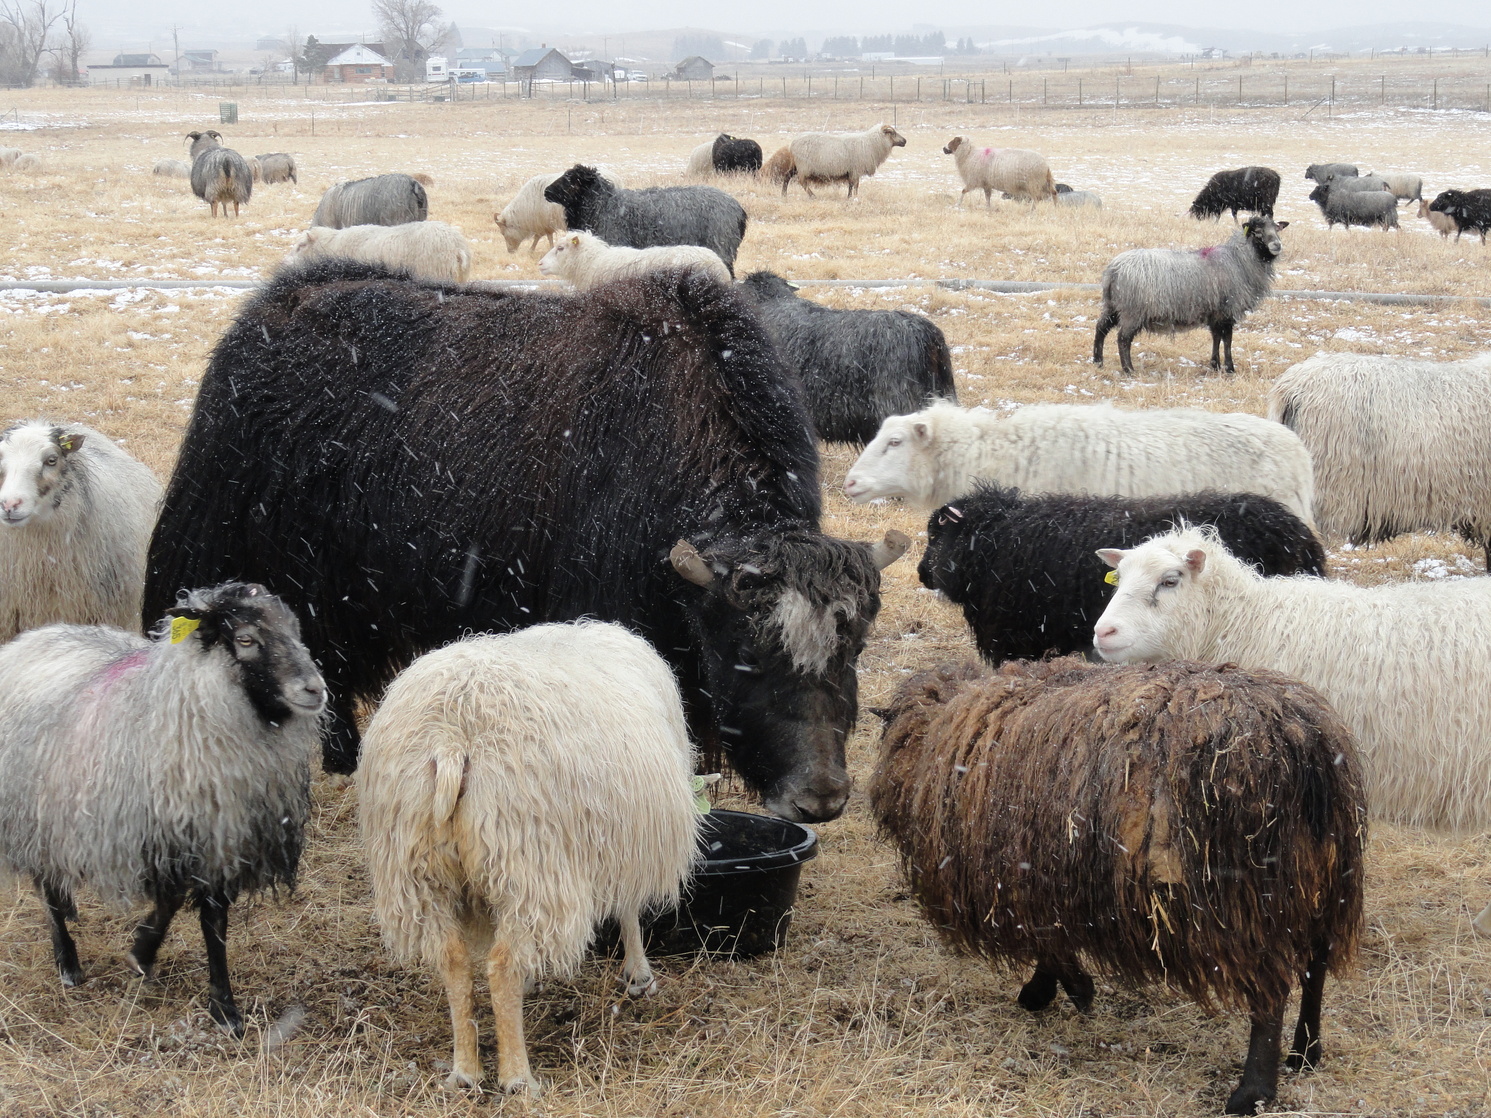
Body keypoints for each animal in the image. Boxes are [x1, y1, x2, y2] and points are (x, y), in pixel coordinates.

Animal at [0, 582, 326, 1034]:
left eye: (295, 630)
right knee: (45, 885)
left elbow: (214, 921)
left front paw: (223, 1007)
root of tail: (27, 639)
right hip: (34, 811)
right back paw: (67, 961)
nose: (315, 689)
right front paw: (141, 953)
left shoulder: (222, 836)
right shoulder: (161, 831)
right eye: (245, 639)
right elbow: (171, 901)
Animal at [359, 621, 700, 1094]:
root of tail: (452, 736)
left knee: (453, 958)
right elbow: (629, 909)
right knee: (502, 964)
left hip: (415, 867)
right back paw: (518, 1077)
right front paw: (639, 975)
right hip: (527, 859)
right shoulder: (624, 841)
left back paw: (465, 1070)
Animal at [870, 656, 1366, 1116]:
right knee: (1316, 968)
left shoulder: (1018, 879)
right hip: (1323, 886)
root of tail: (1305, 741)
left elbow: (1050, 945)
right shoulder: (1043, 882)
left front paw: (1063, 990)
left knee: (1271, 994)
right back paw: (1305, 1052)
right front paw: (1052, 988)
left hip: (1244, 901)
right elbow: (1051, 940)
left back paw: (1252, 1091)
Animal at [1093, 215, 1288, 375]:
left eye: (1276, 229)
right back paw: (1128, 369)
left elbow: (1216, 337)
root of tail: (1114, 269)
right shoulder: (1227, 310)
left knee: (1101, 328)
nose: (1277, 245)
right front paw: (1230, 368)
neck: (1239, 259)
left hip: (1113, 305)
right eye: (1257, 232)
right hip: (1132, 310)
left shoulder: (1215, 311)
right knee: (1123, 339)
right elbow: (1227, 339)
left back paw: (1098, 361)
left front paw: (1215, 365)